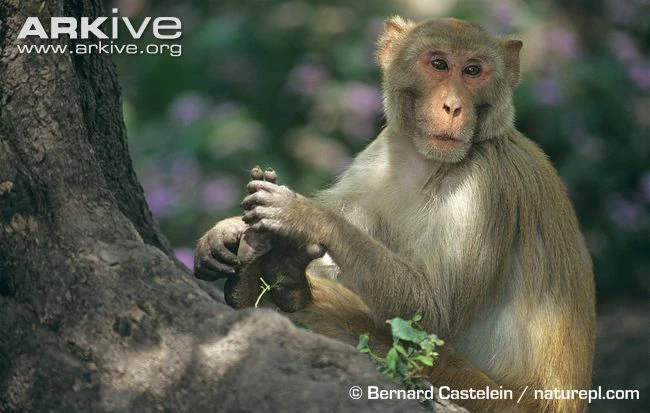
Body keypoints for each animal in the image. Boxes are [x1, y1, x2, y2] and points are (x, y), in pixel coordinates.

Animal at [194, 17, 596, 413]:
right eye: (438, 64)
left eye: (473, 70)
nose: (453, 106)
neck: (433, 165)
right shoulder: (382, 154)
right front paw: (227, 230)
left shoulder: (485, 184)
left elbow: (434, 313)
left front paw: (303, 214)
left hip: (489, 397)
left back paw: (281, 284)